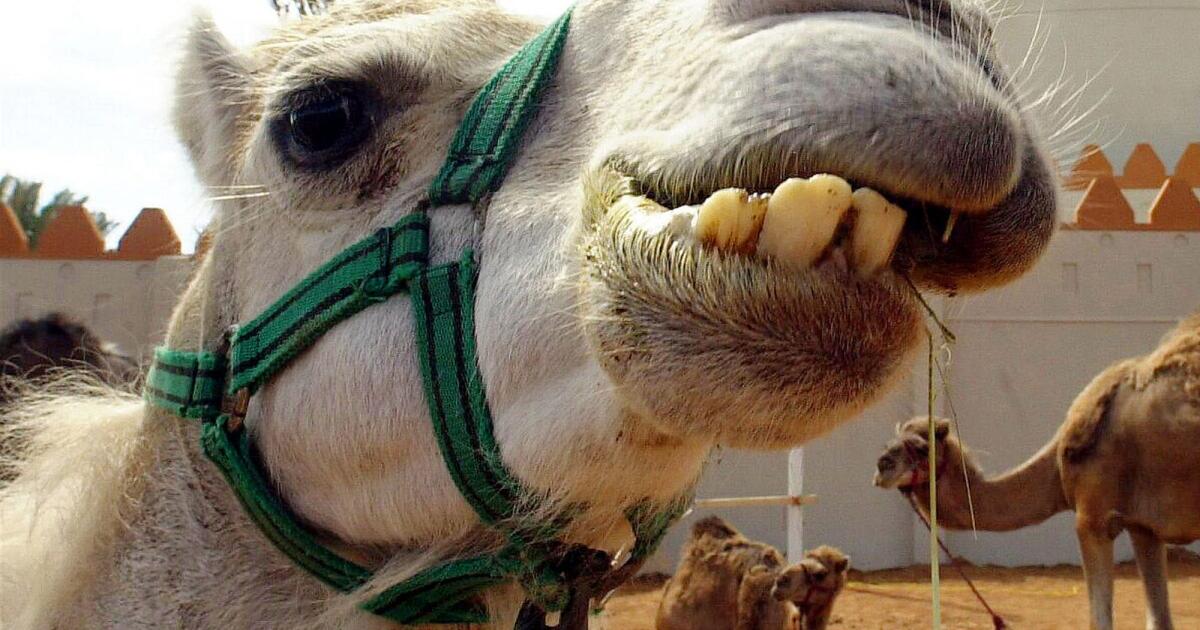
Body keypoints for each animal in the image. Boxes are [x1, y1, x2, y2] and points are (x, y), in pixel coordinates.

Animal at [874, 313, 1200, 630]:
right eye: (893, 440)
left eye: (920, 447)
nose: (881, 467)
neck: (1058, 466)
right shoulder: (1143, 527)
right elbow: (1160, 620)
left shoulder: (1092, 517)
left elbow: (1099, 621)